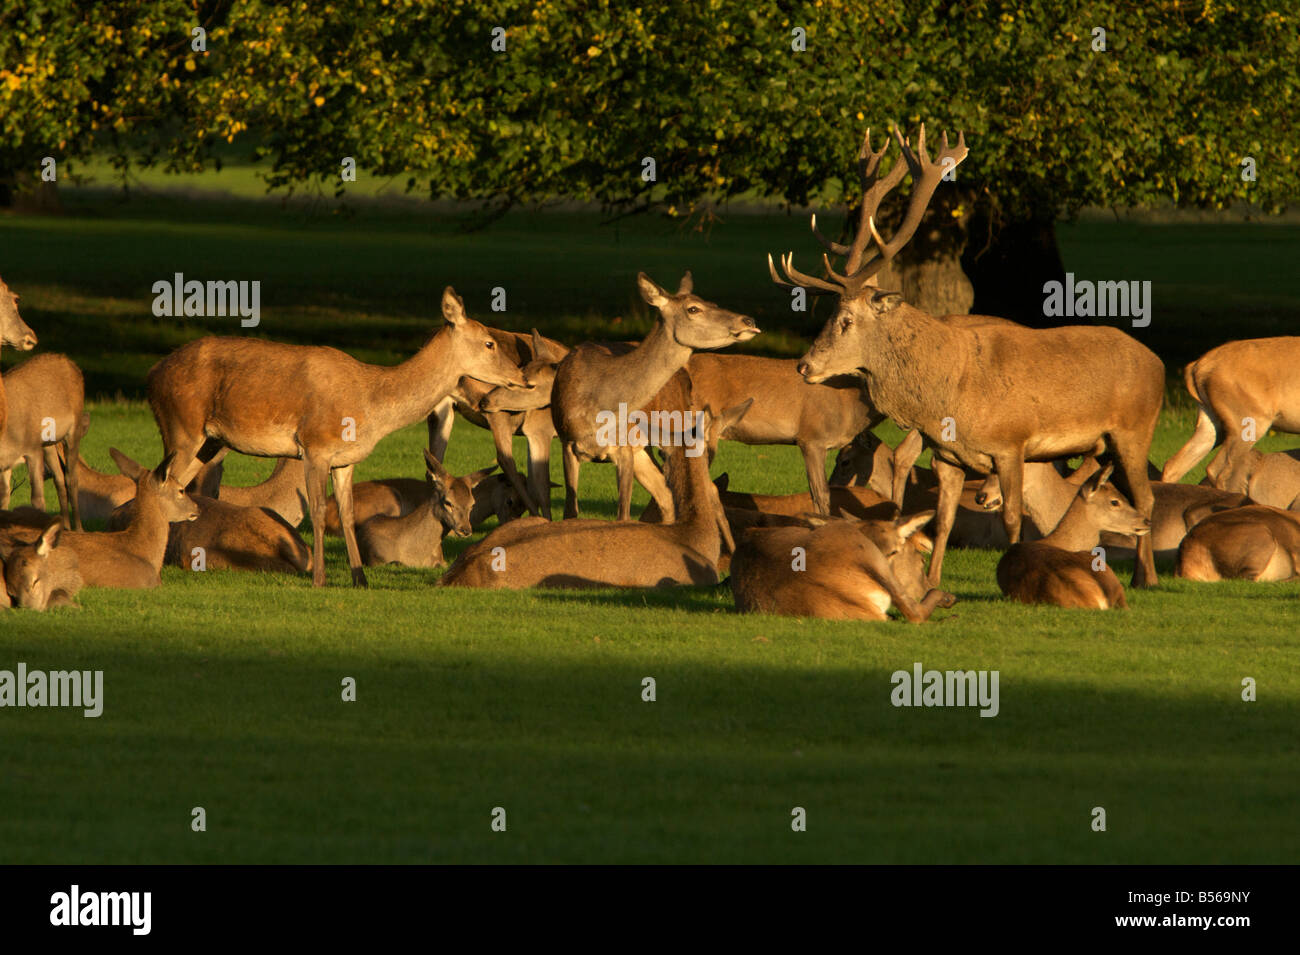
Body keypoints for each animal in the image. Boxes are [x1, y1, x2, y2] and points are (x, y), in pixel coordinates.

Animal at [0, 353, 84, 529]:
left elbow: (37, 499)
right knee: (59, 478)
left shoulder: (32, 449)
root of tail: (71, 363)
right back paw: (65, 526)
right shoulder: (5, 463)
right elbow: (4, 498)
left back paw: (79, 529)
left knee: (71, 478)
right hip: (48, 445)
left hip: (74, 430)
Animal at [432, 327, 569, 518]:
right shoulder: (539, 429)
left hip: (442, 409)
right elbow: (542, 487)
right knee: (505, 459)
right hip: (497, 413)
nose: (485, 401)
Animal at [550, 271, 758, 522]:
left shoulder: (624, 446)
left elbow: (623, 516)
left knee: (705, 488)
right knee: (666, 496)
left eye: (713, 303)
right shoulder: (567, 443)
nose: (749, 321)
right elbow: (570, 513)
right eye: (693, 308)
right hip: (647, 447)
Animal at [770, 122, 1163, 590]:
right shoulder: (947, 455)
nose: (804, 365)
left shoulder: (1011, 444)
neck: (950, 392)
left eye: (846, 319)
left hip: (1135, 429)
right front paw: (933, 581)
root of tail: (1158, 362)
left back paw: (1146, 577)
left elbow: (1013, 518)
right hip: (1107, 442)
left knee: (1147, 498)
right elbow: (942, 520)